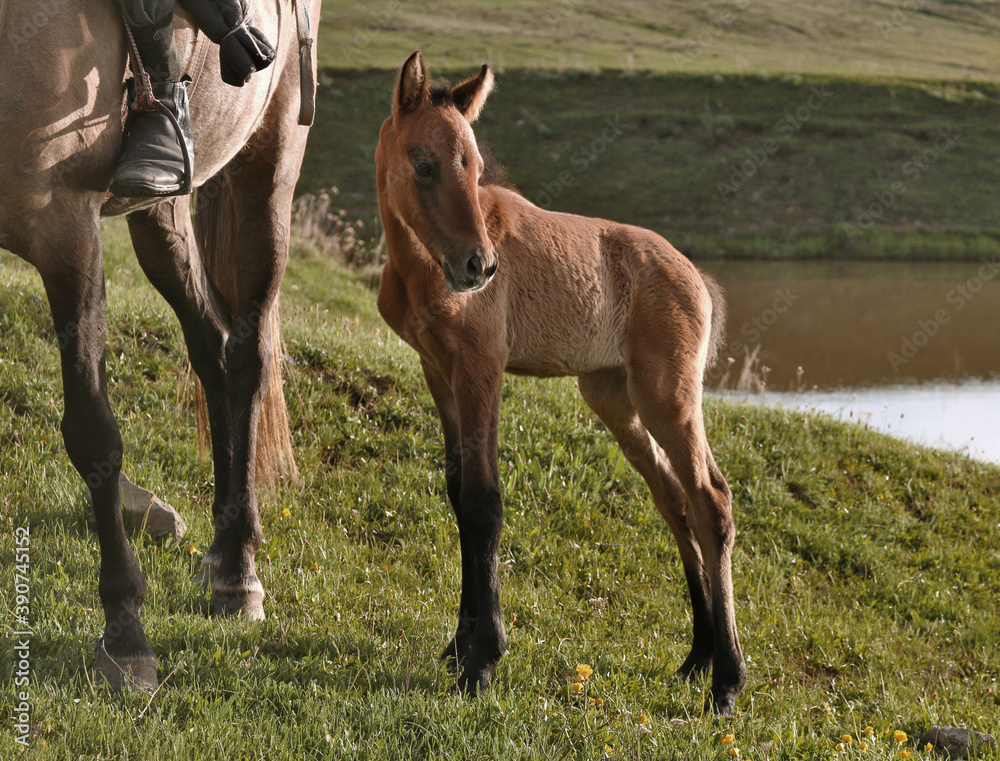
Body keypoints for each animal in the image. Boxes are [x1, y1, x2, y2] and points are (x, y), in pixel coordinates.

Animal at [0, 0, 319, 691]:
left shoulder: (66, 232)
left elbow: (93, 435)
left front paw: (124, 632)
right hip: (161, 211)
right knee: (211, 348)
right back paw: (223, 550)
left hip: (268, 173)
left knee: (247, 359)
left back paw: (239, 571)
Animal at [375, 52, 746, 715]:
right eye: (423, 163)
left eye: (474, 166)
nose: (479, 266)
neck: (422, 271)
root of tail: (697, 278)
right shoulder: (439, 370)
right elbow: (457, 493)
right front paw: (458, 646)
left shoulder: (482, 367)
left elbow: (484, 501)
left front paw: (482, 661)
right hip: (615, 400)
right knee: (675, 500)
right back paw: (697, 658)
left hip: (668, 400)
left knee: (712, 501)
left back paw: (727, 682)